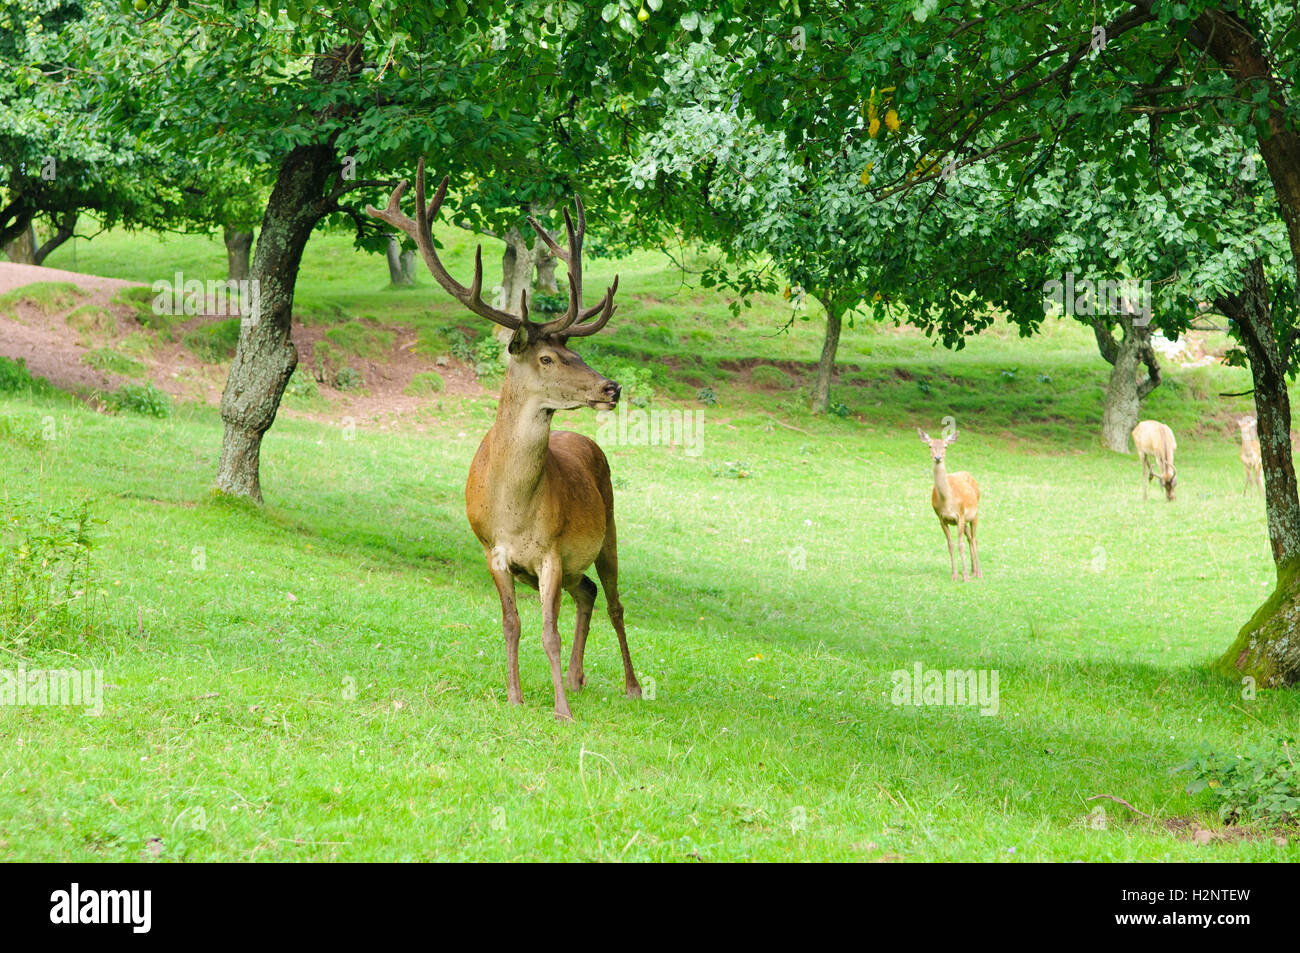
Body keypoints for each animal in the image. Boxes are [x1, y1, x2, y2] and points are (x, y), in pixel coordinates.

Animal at [367, 160, 641, 721]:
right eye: (549, 358)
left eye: (578, 352)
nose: (612, 387)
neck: (514, 507)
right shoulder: (495, 552)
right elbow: (513, 625)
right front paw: (516, 696)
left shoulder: (552, 553)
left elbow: (547, 632)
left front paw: (560, 711)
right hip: (571, 562)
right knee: (589, 593)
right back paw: (578, 677)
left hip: (609, 529)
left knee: (615, 600)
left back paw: (630, 685)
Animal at [916, 428, 982, 581]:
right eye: (930, 446)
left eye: (945, 446)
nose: (938, 458)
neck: (947, 501)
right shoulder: (941, 518)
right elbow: (950, 544)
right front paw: (955, 575)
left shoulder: (961, 515)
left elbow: (960, 545)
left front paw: (965, 576)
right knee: (970, 538)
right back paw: (973, 571)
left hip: (975, 513)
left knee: (974, 539)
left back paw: (978, 573)